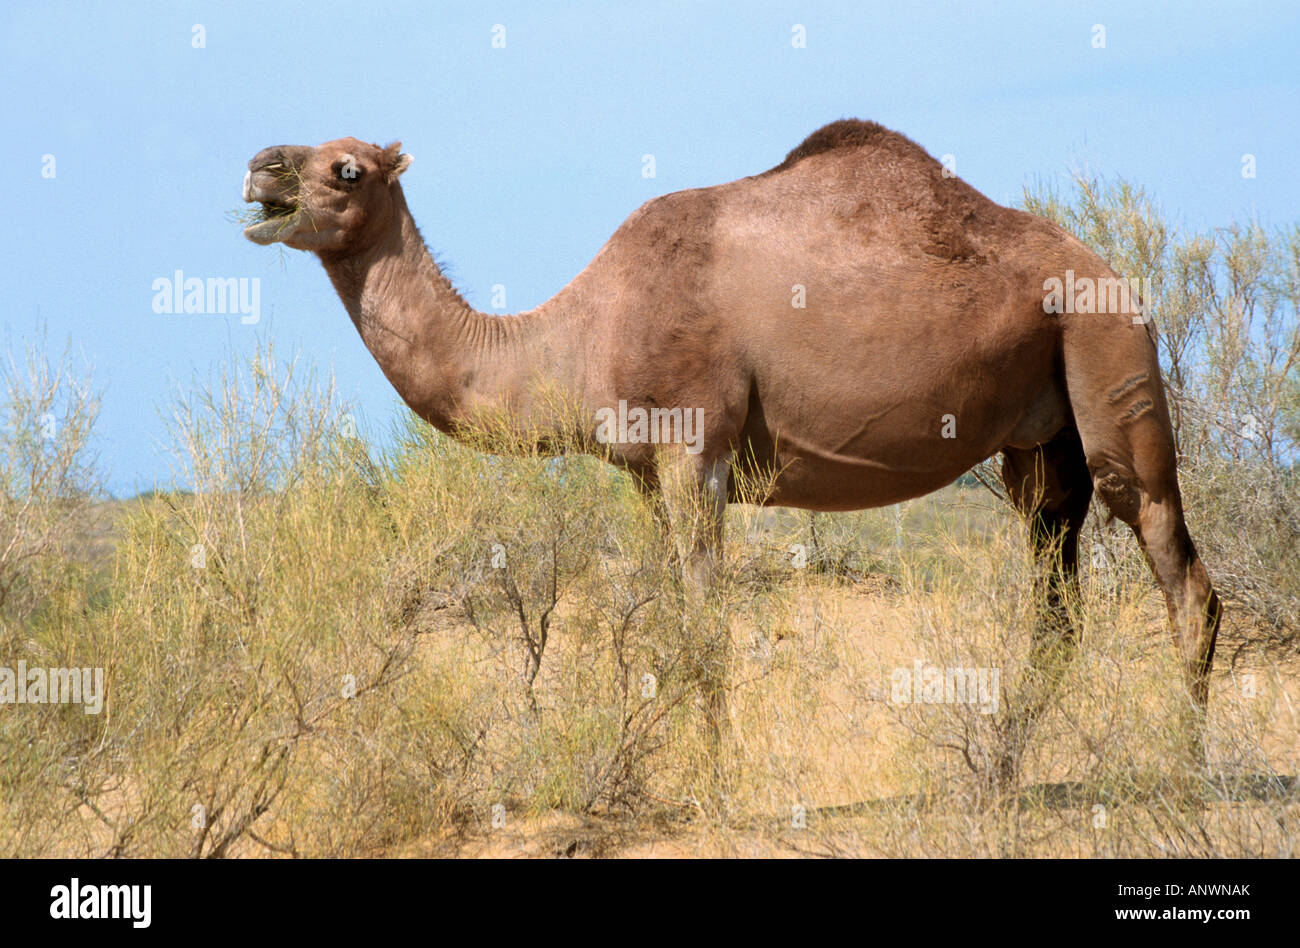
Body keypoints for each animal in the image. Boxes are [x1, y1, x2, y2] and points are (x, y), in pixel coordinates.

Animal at [241, 119, 1222, 783]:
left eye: (347, 168)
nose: (258, 171)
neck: (581, 333)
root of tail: (1114, 273)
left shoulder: (695, 448)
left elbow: (704, 625)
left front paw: (713, 781)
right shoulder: (646, 476)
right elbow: (661, 624)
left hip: (1104, 349)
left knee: (1175, 560)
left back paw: (1184, 764)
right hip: (1041, 435)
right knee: (1055, 598)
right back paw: (1006, 771)